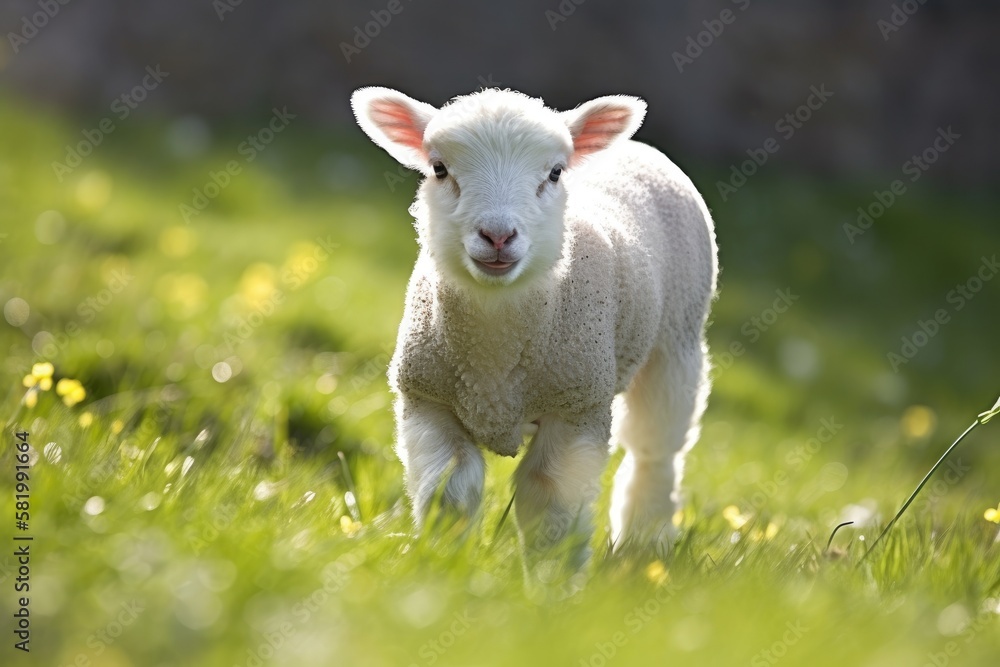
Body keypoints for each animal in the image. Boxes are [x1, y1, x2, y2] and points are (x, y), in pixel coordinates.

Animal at [351, 86, 718, 566]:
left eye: (556, 172)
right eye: (439, 168)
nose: (497, 236)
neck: (495, 354)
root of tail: (634, 146)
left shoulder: (576, 407)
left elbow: (550, 508)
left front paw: (553, 582)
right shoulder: (428, 400)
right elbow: (450, 492)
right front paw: (443, 564)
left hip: (675, 342)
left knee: (654, 450)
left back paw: (642, 545)